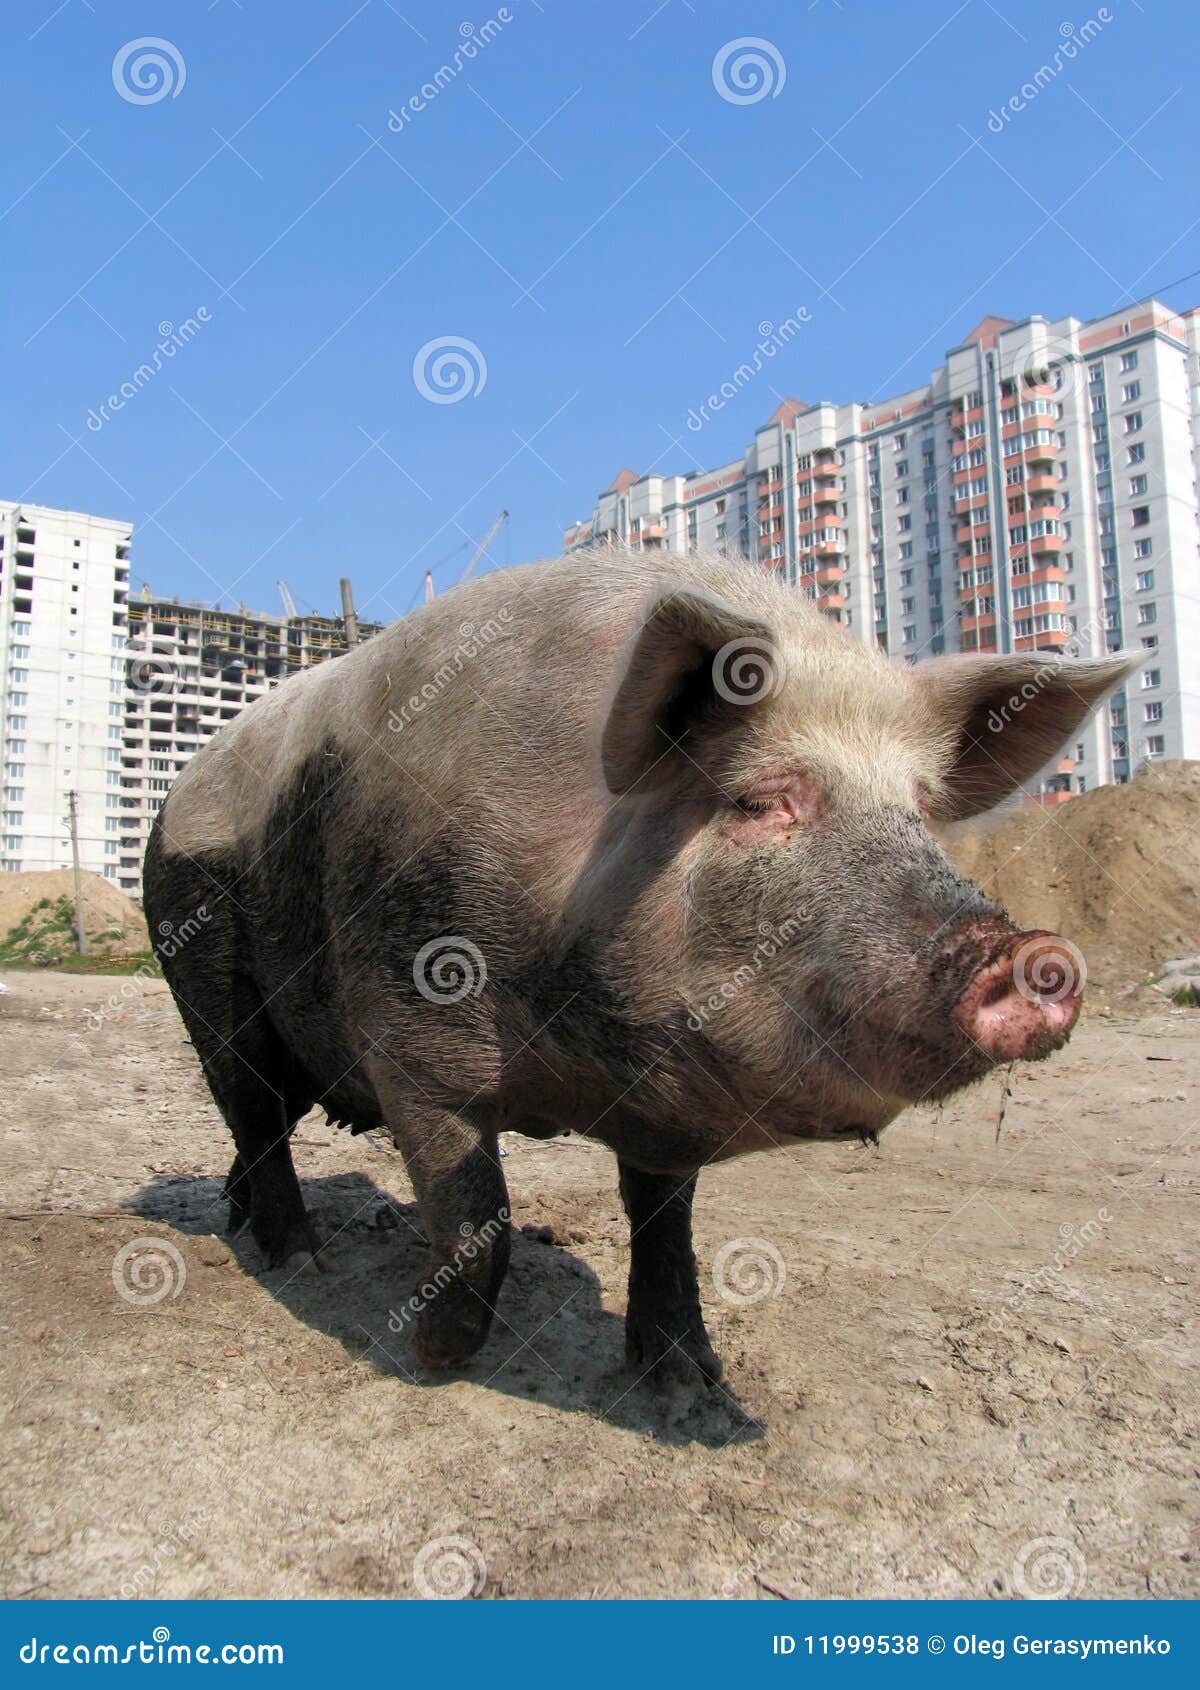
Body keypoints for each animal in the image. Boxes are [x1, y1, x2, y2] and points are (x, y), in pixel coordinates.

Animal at [142, 550, 1134, 1388]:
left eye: (921, 811)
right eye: (760, 801)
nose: (1031, 954)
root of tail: (184, 781)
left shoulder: (668, 1103)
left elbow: (665, 1219)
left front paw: (688, 1380)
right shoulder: (409, 1027)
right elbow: (475, 1210)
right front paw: (431, 1356)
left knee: (258, 1125)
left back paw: (241, 1222)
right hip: (196, 959)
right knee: (251, 1109)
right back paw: (295, 1256)